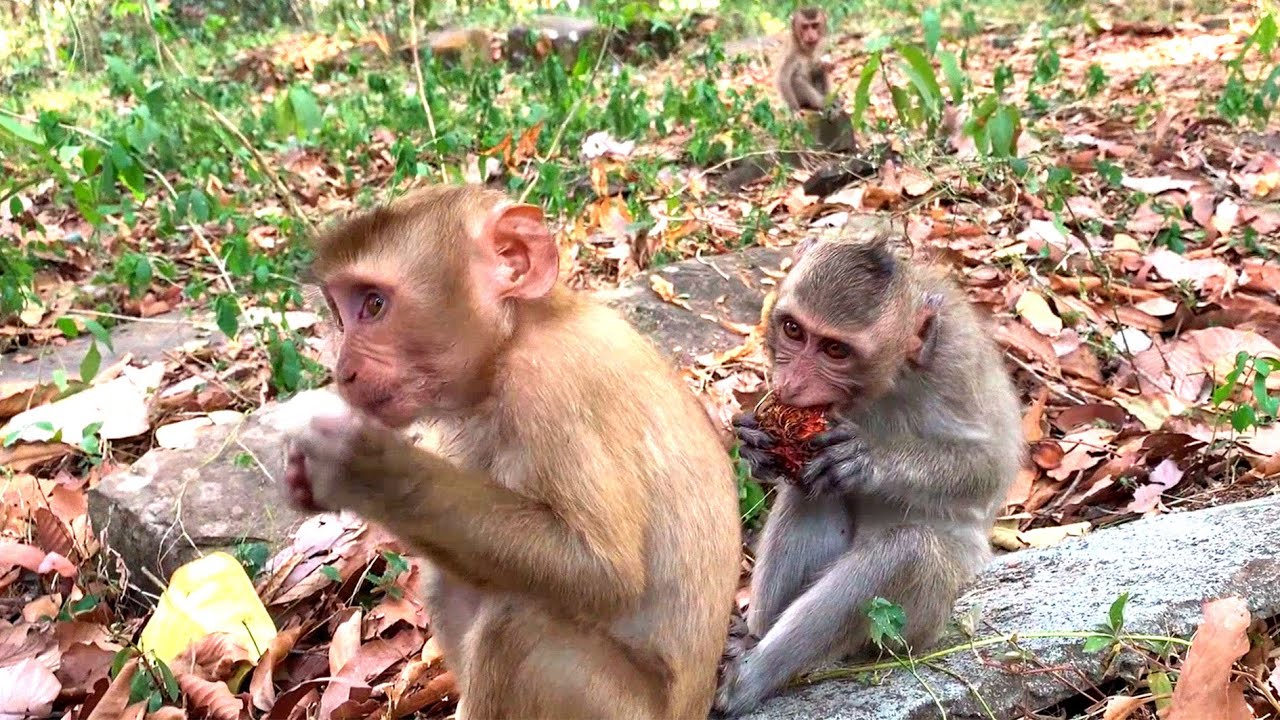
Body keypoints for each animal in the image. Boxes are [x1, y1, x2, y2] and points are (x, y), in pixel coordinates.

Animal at [279, 185, 742, 720]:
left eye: (373, 305)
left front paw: (361, 465)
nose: (343, 372)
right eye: (340, 313)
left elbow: (605, 572)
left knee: (519, 624)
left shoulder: (553, 387)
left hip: (622, 707)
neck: (516, 336)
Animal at [714, 233, 1024, 716]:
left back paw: (752, 678)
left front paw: (869, 460)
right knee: (812, 489)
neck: (887, 382)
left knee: (910, 553)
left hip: (921, 621)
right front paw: (755, 445)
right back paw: (754, 637)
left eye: (835, 350)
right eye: (793, 330)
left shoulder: (957, 359)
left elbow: (991, 465)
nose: (791, 386)